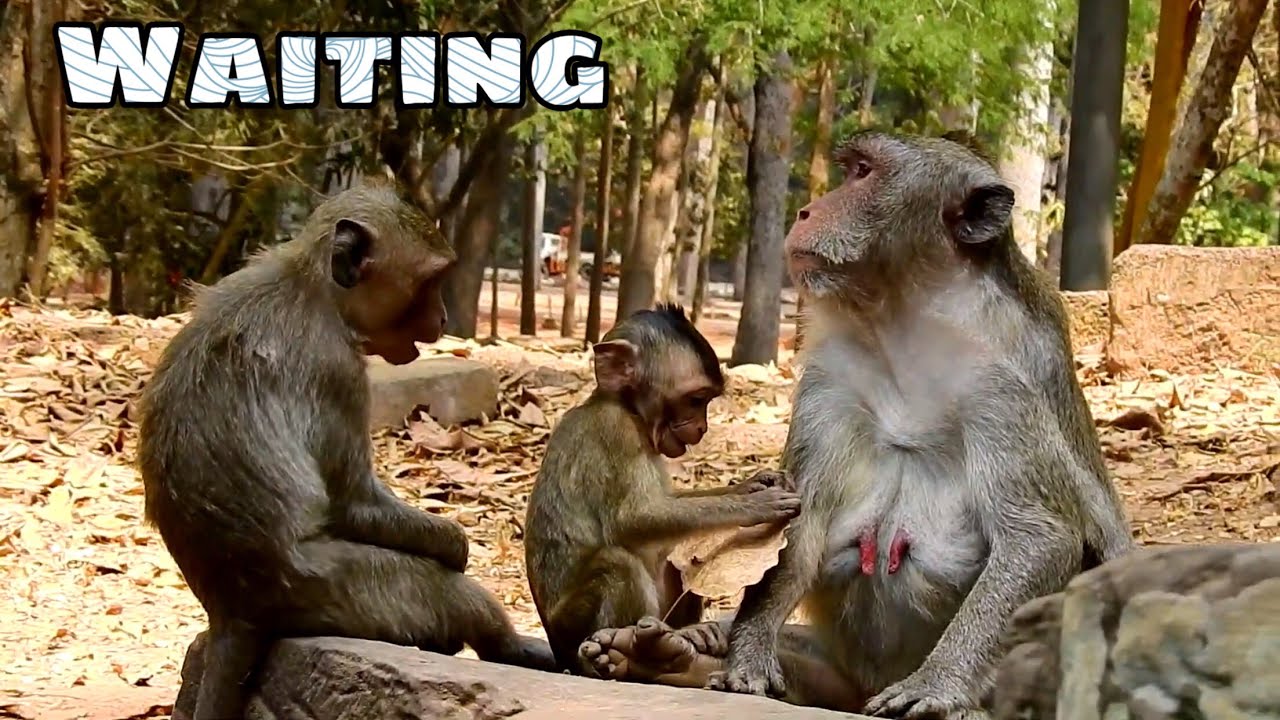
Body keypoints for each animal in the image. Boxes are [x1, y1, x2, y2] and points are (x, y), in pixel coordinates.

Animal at [137, 180, 556, 720]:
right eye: (430, 282)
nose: (443, 317)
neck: (312, 285)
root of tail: (232, 608)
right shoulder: (338, 367)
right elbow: (351, 503)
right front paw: (454, 543)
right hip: (333, 590)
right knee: (442, 591)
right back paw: (510, 645)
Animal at [522, 303, 803, 677]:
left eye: (706, 402)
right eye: (695, 399)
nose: (702, 427)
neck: (627, 409)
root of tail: (558, 653)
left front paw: (751, 485)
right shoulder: (617, 432)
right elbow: (633, 519)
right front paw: (757, 504)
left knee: (676, 556)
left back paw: (688, 635)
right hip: (569, 629)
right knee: (617, 564)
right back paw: (612, 655)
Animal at [585, 132, 1136, 718]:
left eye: (864, 173)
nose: (806, 210)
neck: (907, 331)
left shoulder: (1002, 388)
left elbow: (1043, 536)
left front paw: (937, 683)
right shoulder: (831, 378)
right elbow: (796, 527)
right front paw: (747, 653)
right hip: (841, 679)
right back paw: (665, 652)